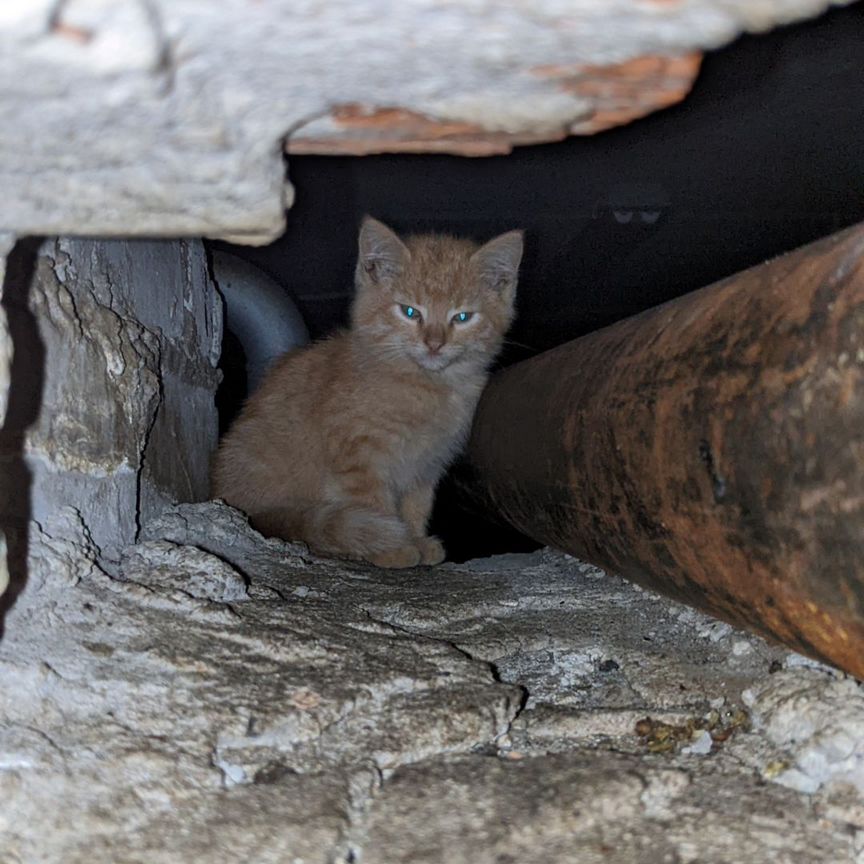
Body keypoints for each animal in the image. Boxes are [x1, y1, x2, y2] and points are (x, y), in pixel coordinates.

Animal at [213, 216, 524, 568]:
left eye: (462, 317)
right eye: (410, 312)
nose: (434, 344)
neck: (426, 387)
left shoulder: (426, 466)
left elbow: (416, 506)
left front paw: (416, 540)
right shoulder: (359, 457)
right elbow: (372, 505)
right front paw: (393, 548)